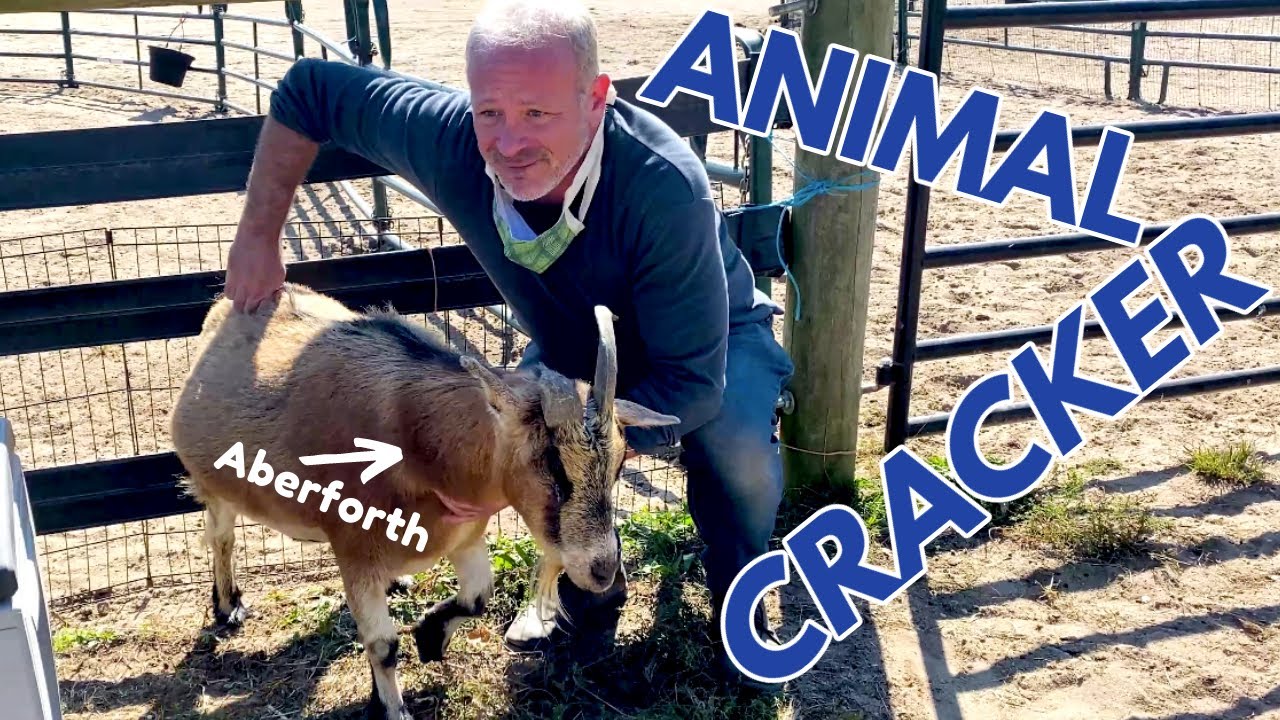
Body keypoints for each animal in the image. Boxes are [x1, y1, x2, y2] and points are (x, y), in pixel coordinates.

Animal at [168, 282, 679, 719]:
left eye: (619, 463)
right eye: (553, 465)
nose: (602, 570)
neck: (418, 444)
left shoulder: (465, 538)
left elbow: (478, 598)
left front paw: (430, 639)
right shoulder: (355, 551)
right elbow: (382, 644)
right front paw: (393, 709)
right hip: (215, 486)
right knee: (221, 538)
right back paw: (228, 604)